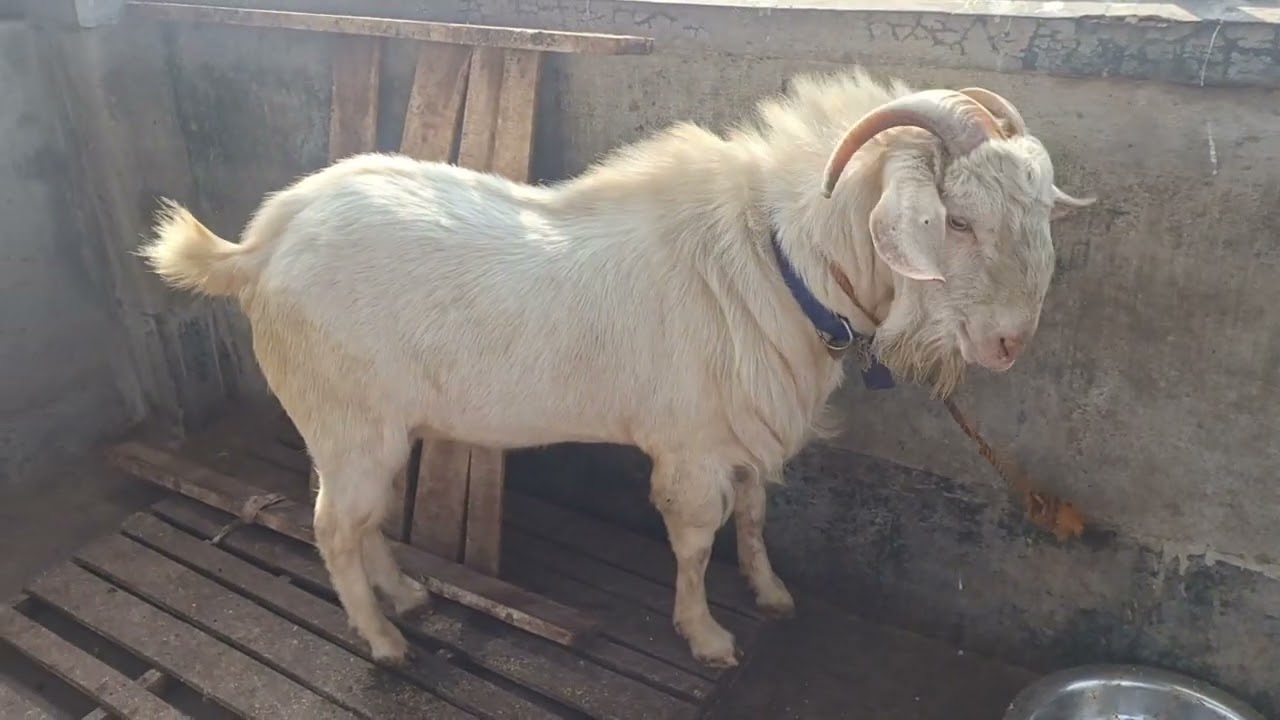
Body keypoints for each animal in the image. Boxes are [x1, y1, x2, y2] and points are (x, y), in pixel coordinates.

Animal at [140, 67, 1094, 668]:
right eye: (957, 222)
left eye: (1037, 211)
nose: (1010, 344)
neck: (777, 262)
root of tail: (258, 248)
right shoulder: (692, 446)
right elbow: (697, 538)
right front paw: (706, 637)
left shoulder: (747, 435)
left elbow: (755, 518)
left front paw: (770, 593)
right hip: (348, 419)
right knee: (334, 526)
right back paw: (383, 641)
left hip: (371, 426)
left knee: (362, 518)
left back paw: (404, 597)